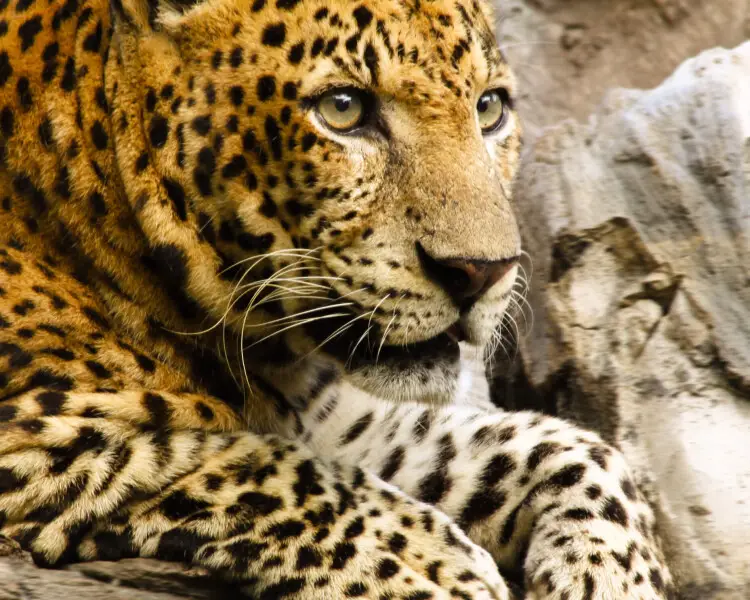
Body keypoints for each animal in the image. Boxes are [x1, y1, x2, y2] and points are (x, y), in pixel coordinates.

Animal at [0, 0, 676, 596]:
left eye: (488, 109)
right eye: (343, 109)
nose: (482, 273)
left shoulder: (336, 419)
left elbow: (559, 446)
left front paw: (614, 577)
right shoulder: (34, 438)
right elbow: (255, 466)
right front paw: (436, 568)